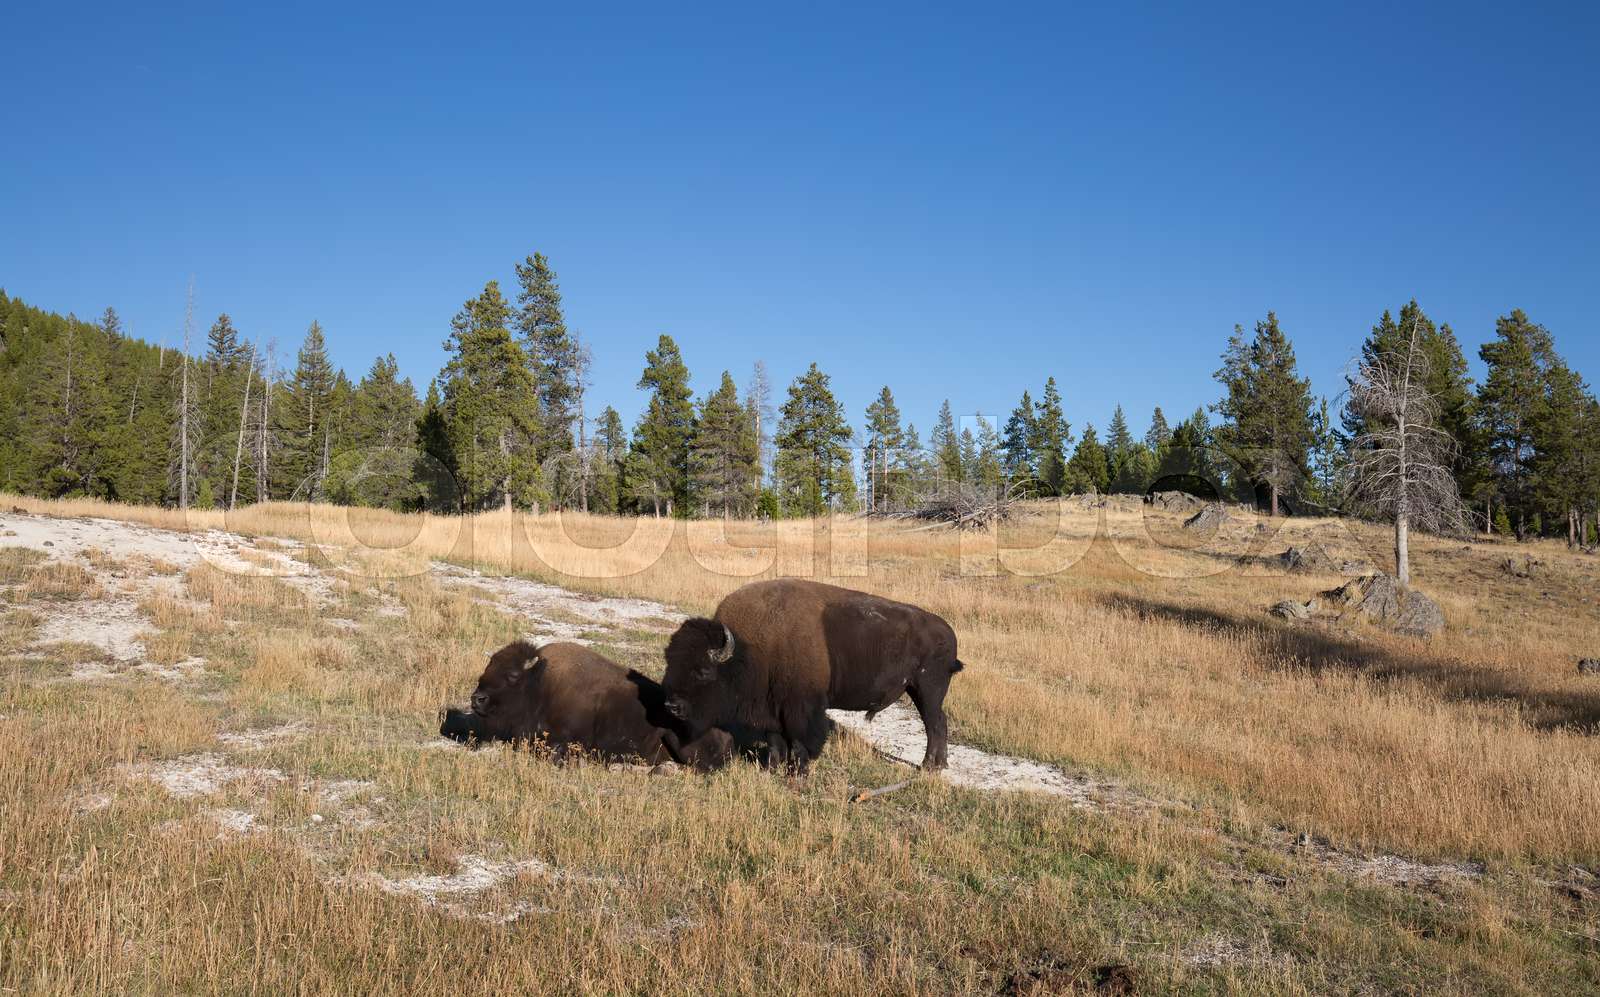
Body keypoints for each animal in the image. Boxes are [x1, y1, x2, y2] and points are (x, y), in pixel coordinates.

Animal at [662, 579, 963, 772]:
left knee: (935, 723)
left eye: (703, 671)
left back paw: (929, 766)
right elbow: (775, 739)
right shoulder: (771, 709)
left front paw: (798, 770)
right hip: (920, 690)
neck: (748, 650)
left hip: (927, 689)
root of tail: (946, 631)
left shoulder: (802, 707)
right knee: (938, 722)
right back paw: (937, 765)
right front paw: (772, 768)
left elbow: (799, 740)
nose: (671, 706)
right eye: (669, 662)